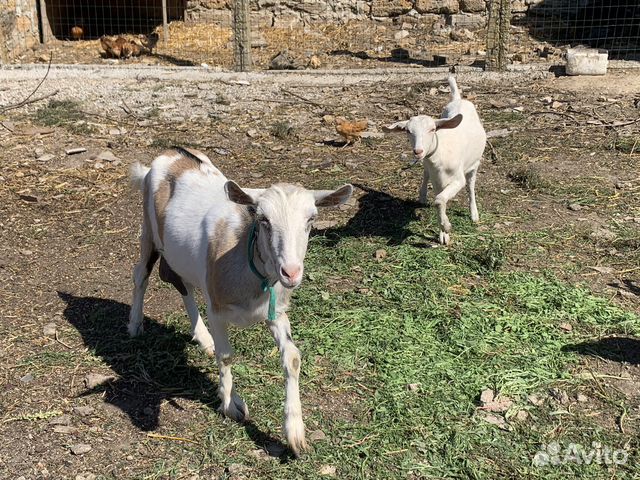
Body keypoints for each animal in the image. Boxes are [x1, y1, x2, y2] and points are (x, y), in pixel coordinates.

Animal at [128, 147, 353, 456]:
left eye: (311, 220)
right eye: (263, 219)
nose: (291, 272)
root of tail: (170, 152)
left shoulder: (275, 311)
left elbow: (292, 357)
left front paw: (295, 434)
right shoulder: (217, 308)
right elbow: (226, 355)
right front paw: (230, 405)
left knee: (182, 282)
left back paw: (203, 339)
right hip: (148, 230)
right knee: (142, 274)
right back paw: (135, 326)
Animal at [386, 75, 486, 245]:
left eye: (432, 129)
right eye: (407, 131)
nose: (418, 151)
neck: (441, 155)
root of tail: (458, 99)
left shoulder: (457, 179)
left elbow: (440, 200)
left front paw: (446, 227)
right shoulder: (437, 180)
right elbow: (440, 201)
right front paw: (444, 233)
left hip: (474, 163)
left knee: (471, 186)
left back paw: (474, 214)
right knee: (426, 174)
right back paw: (422, 196)